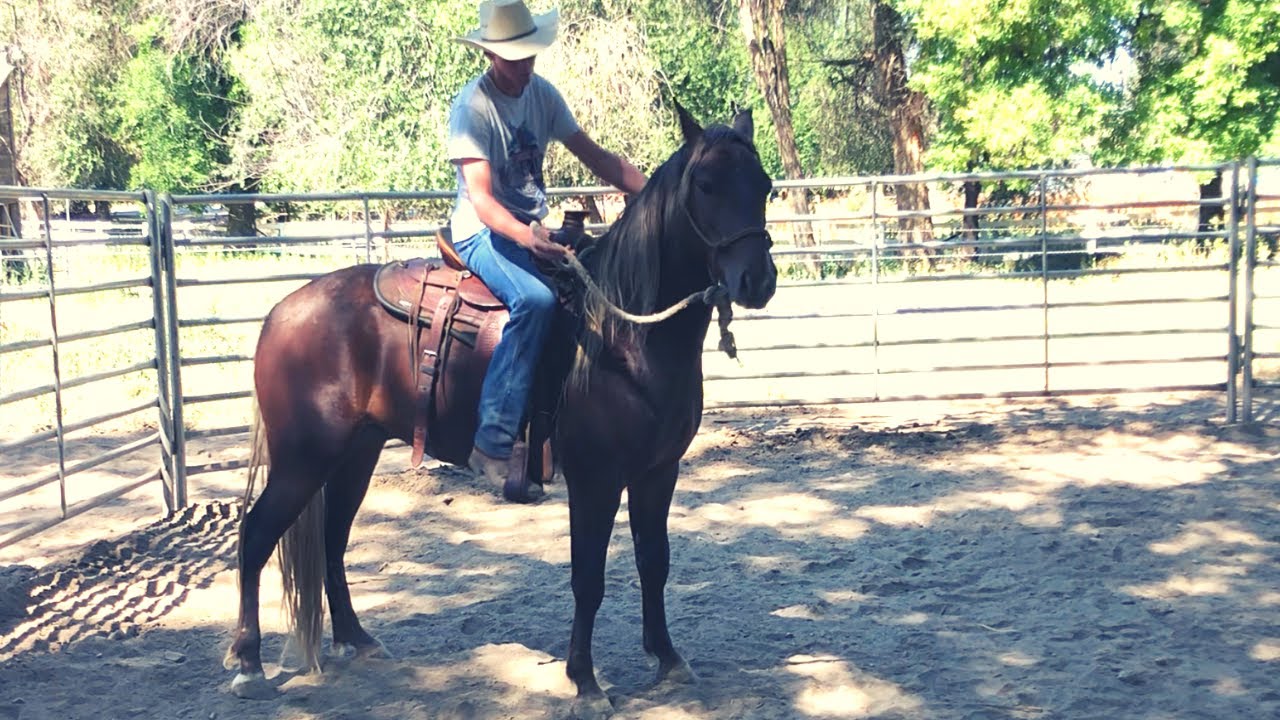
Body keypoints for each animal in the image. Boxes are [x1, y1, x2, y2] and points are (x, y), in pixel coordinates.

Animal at [224, 104, 778, 718]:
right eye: (705, 184)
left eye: (765, 187)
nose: (758, 280)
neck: (624, 334)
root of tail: (281, 311)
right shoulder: (595, 481)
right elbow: (589, 577)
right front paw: (585, 681)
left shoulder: (658, 473)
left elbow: (654, 562)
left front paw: (668, 659)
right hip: (303, 461)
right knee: (256, 535)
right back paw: (248, 663)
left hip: (355, 455)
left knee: (333, 539)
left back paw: (356, 640)